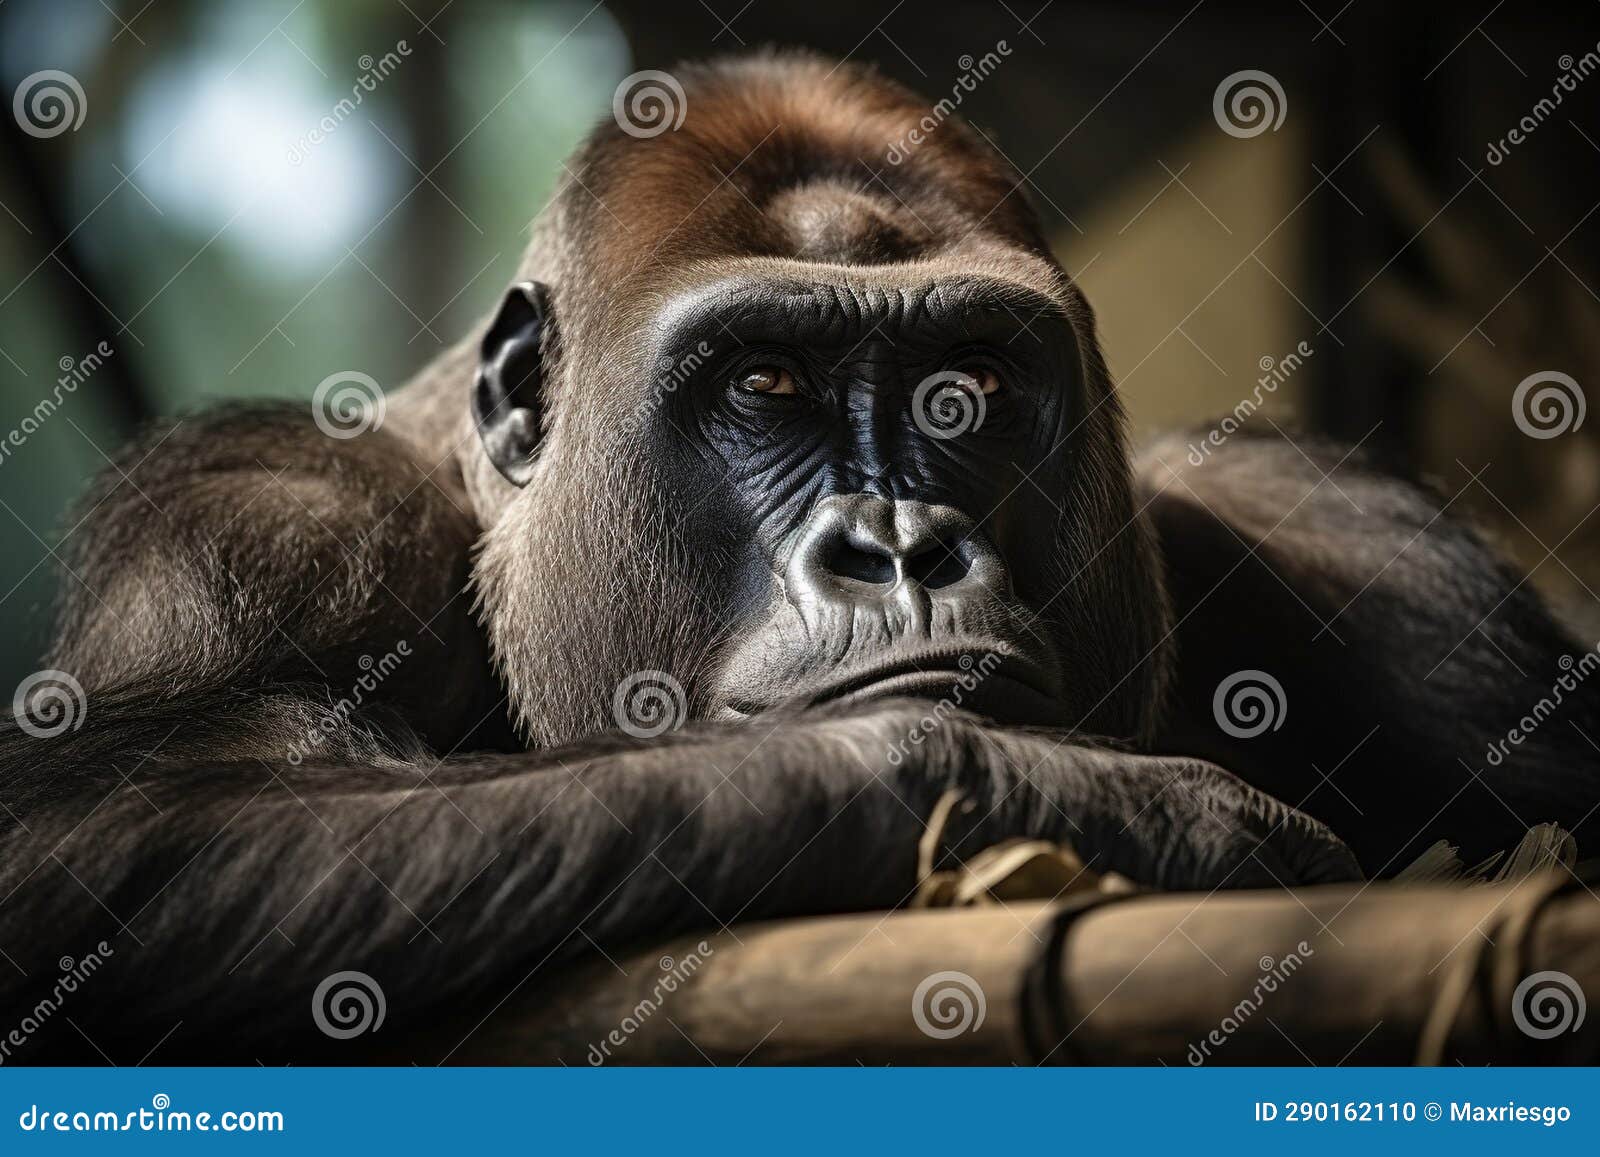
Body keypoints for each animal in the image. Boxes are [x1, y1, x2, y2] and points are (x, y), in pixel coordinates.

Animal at [0, 52, 1595, 1063]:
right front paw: (1077, 795)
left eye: (967, 386)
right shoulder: (267, 519)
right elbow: (129, 831)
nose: (897, 549)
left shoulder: (1361, 553)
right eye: (764, 382)